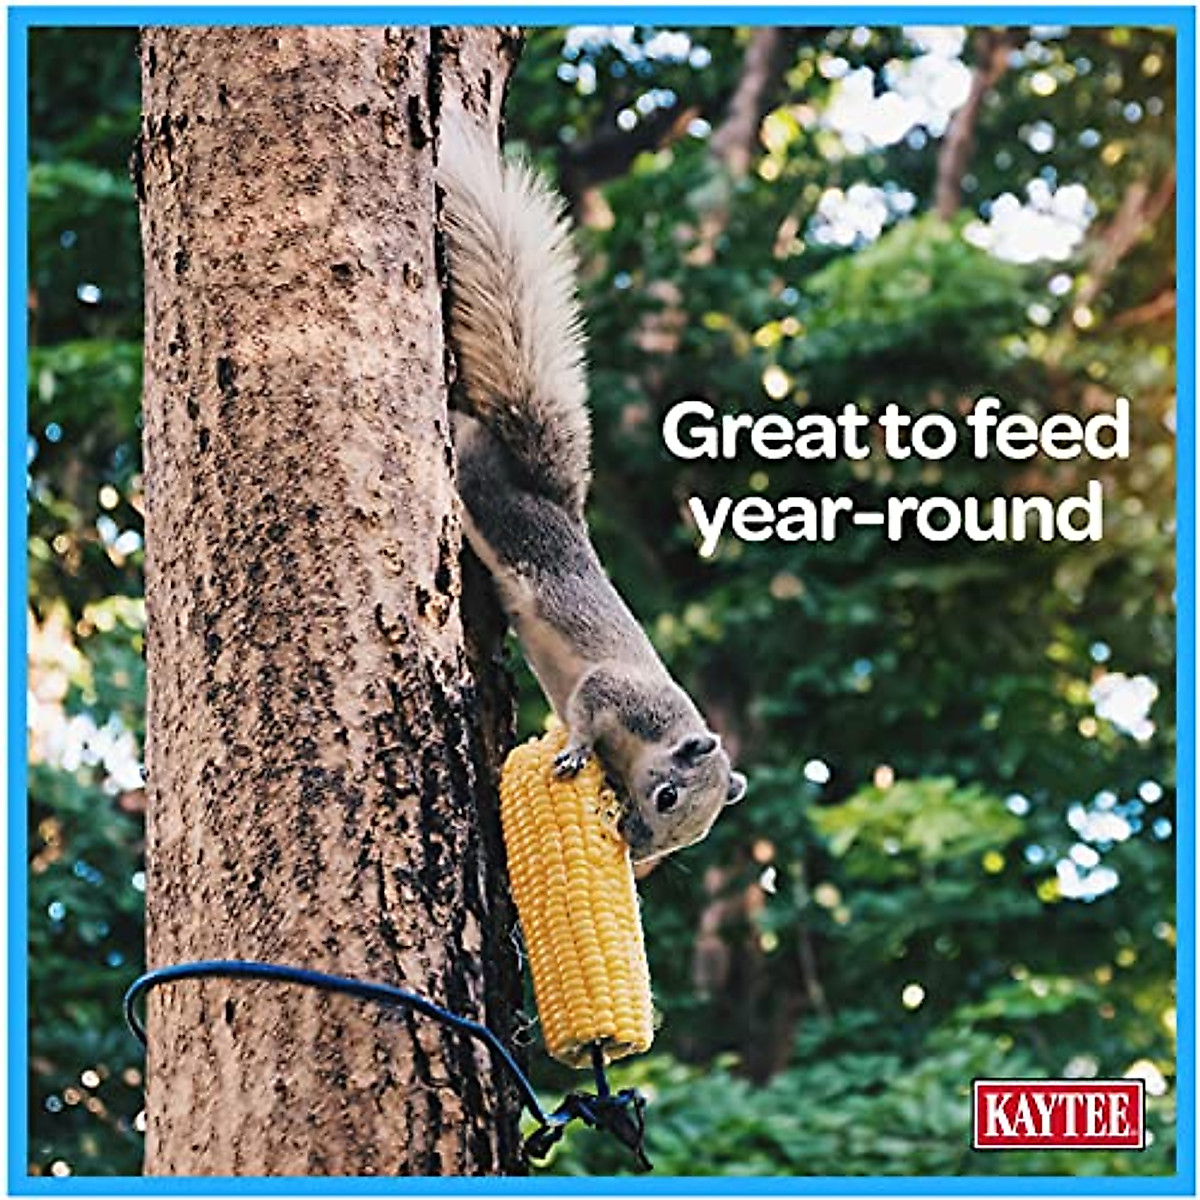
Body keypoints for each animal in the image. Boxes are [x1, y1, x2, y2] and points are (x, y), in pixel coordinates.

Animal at [438, 117, 747, 864]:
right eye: (668, 798)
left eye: (685, 841)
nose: (637, 848)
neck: (645, 745)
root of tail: (561, 509)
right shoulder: (619, 692)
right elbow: (583, 710)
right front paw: (576, 750)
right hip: (497, 504)